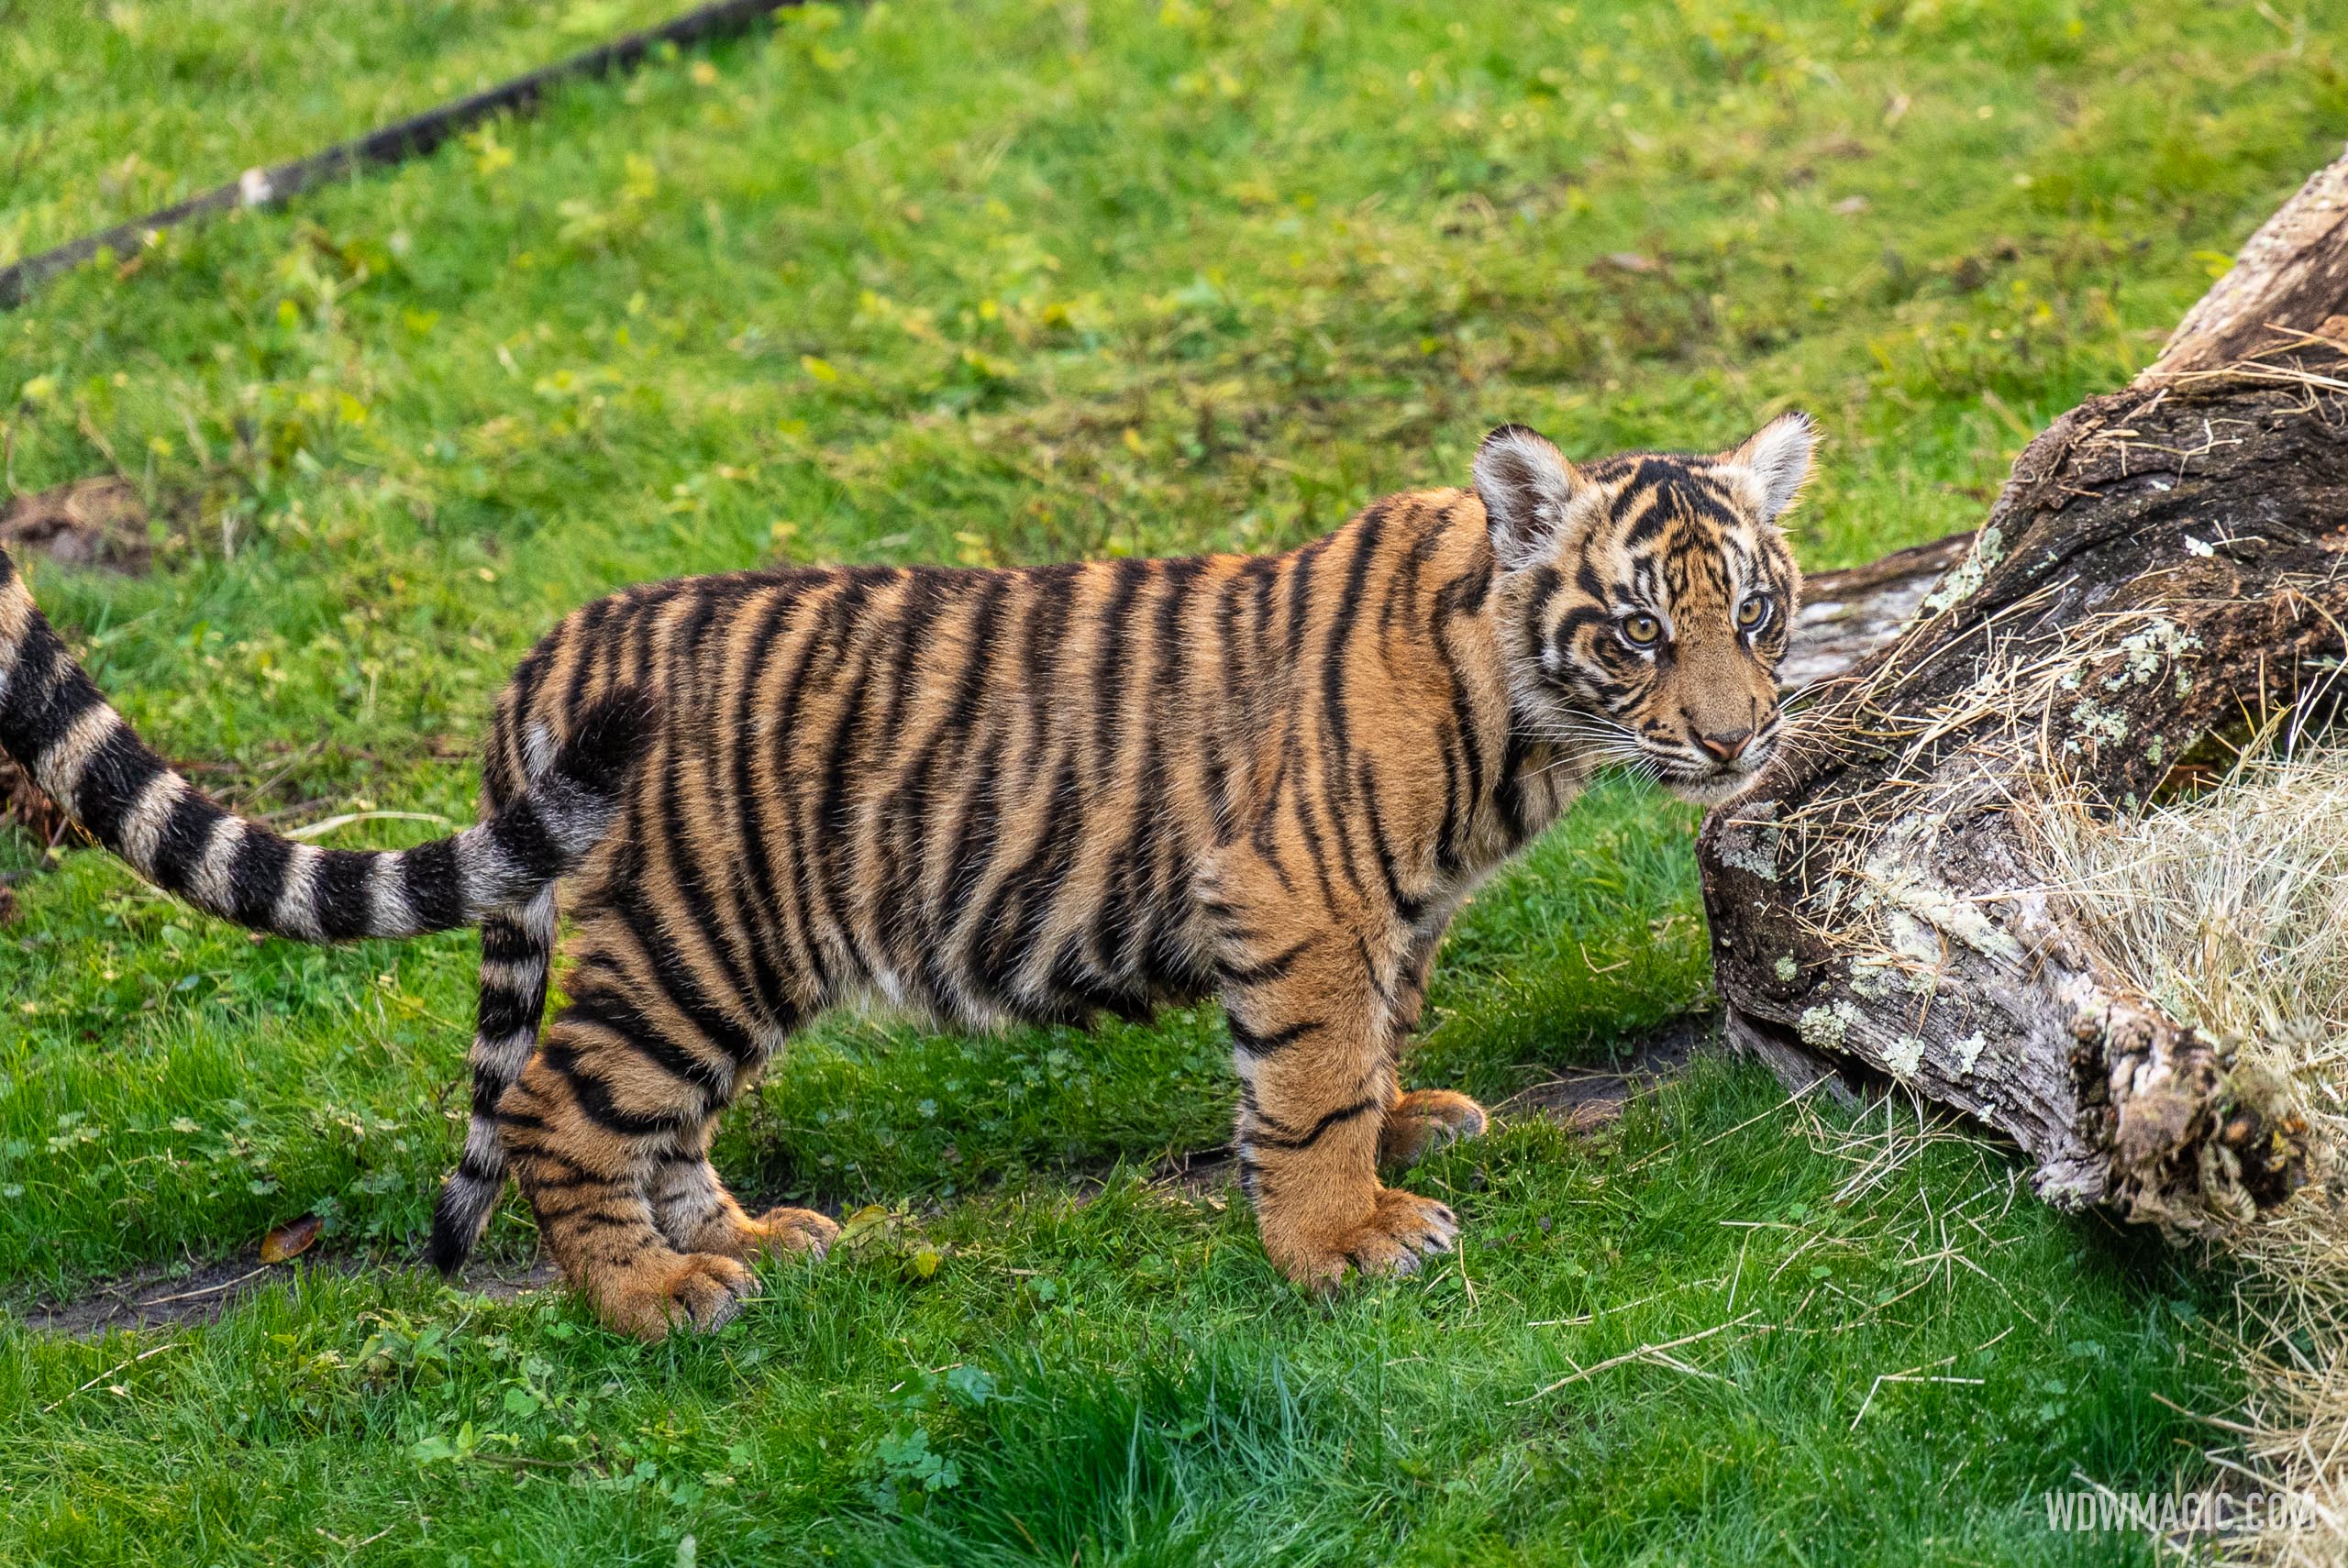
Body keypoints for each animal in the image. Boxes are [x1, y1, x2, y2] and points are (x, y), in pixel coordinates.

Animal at [0, 414, 1811, 1340]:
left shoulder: (1386, 916)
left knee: (653, 1117)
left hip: (714, 958)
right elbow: (1307, 1085)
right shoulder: (1299, 900)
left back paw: (755, 1238)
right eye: (1637, 630)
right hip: (698, 937)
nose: (1739, 738)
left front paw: (1403, 1129)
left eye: (1756, 610)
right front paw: (1341, 1244)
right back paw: (658, 1295)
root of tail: (556, 641)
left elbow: (1369, 1048)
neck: (1520, 720)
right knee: (562, 1107)